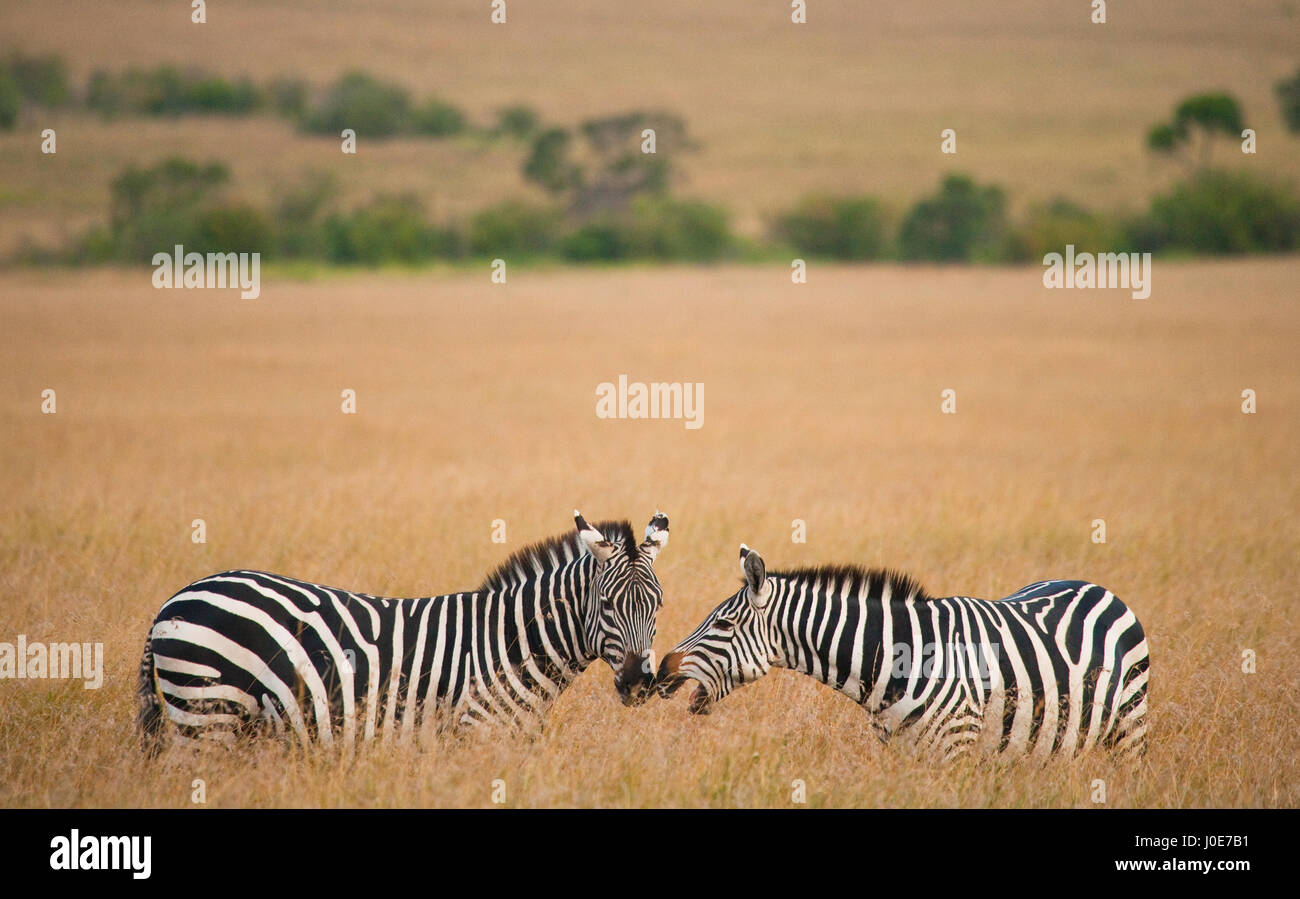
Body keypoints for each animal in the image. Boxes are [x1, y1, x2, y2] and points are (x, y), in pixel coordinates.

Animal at [138, 510, 669, 754]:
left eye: (658, 606)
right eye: (607, 605)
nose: (639, 684)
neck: (510, 644)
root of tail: (175, 598)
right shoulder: (477, 735)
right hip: (207, 716)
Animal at [656, 545, 1149, 760]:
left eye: (723, 625)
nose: (661, 670)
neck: (898, 661)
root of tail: (1092, 585)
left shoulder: (954, 750)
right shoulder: (898, 754)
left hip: (1129, 730)